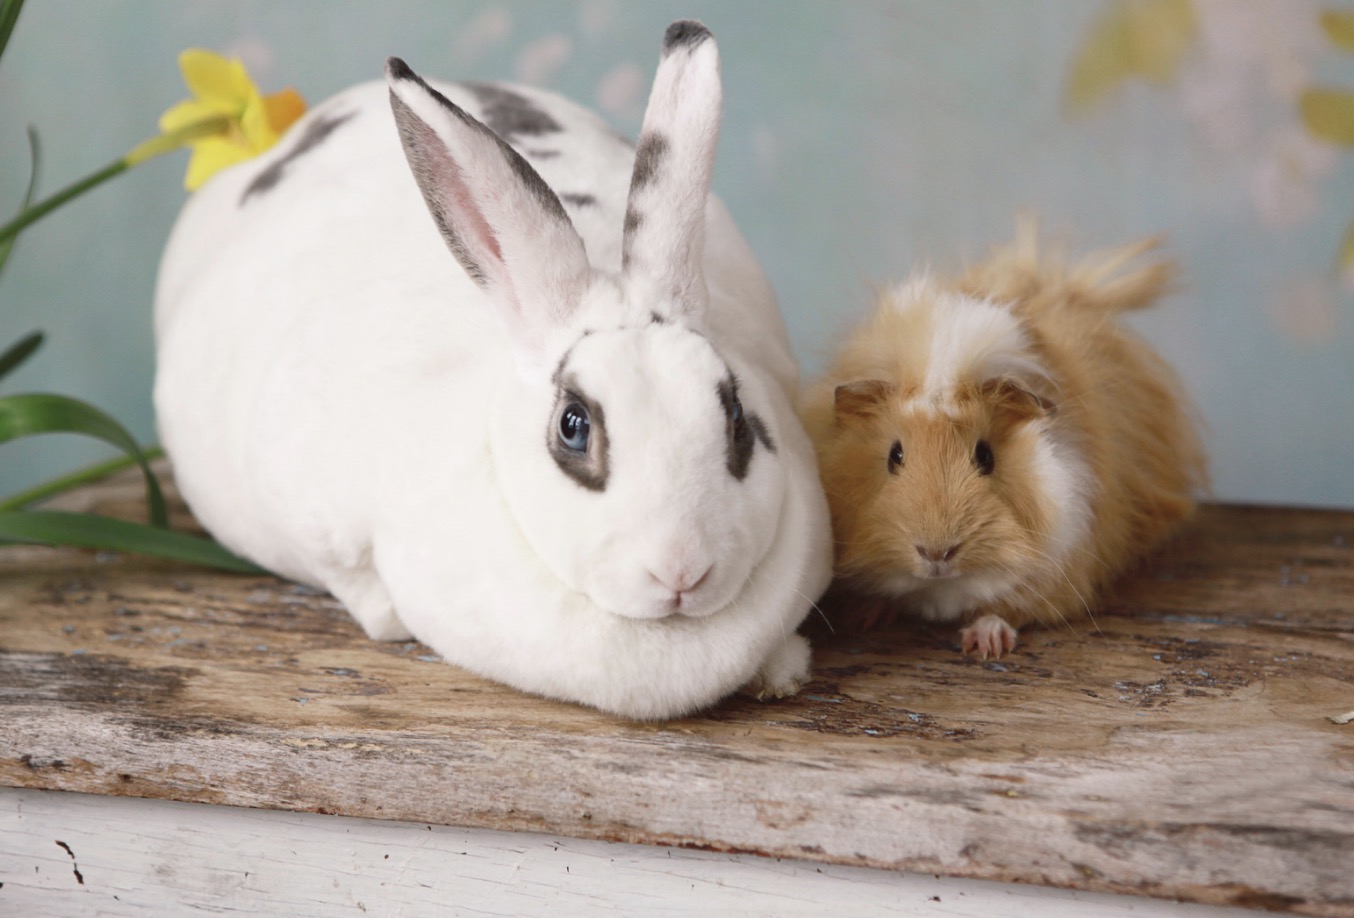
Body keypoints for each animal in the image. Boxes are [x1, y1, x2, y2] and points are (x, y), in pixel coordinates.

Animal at [800, 220, 1207, 658]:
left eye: (986, 456)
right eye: (894, 455)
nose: (937, 553)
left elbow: (1005, 609)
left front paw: (986, 644)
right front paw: (864, 615)